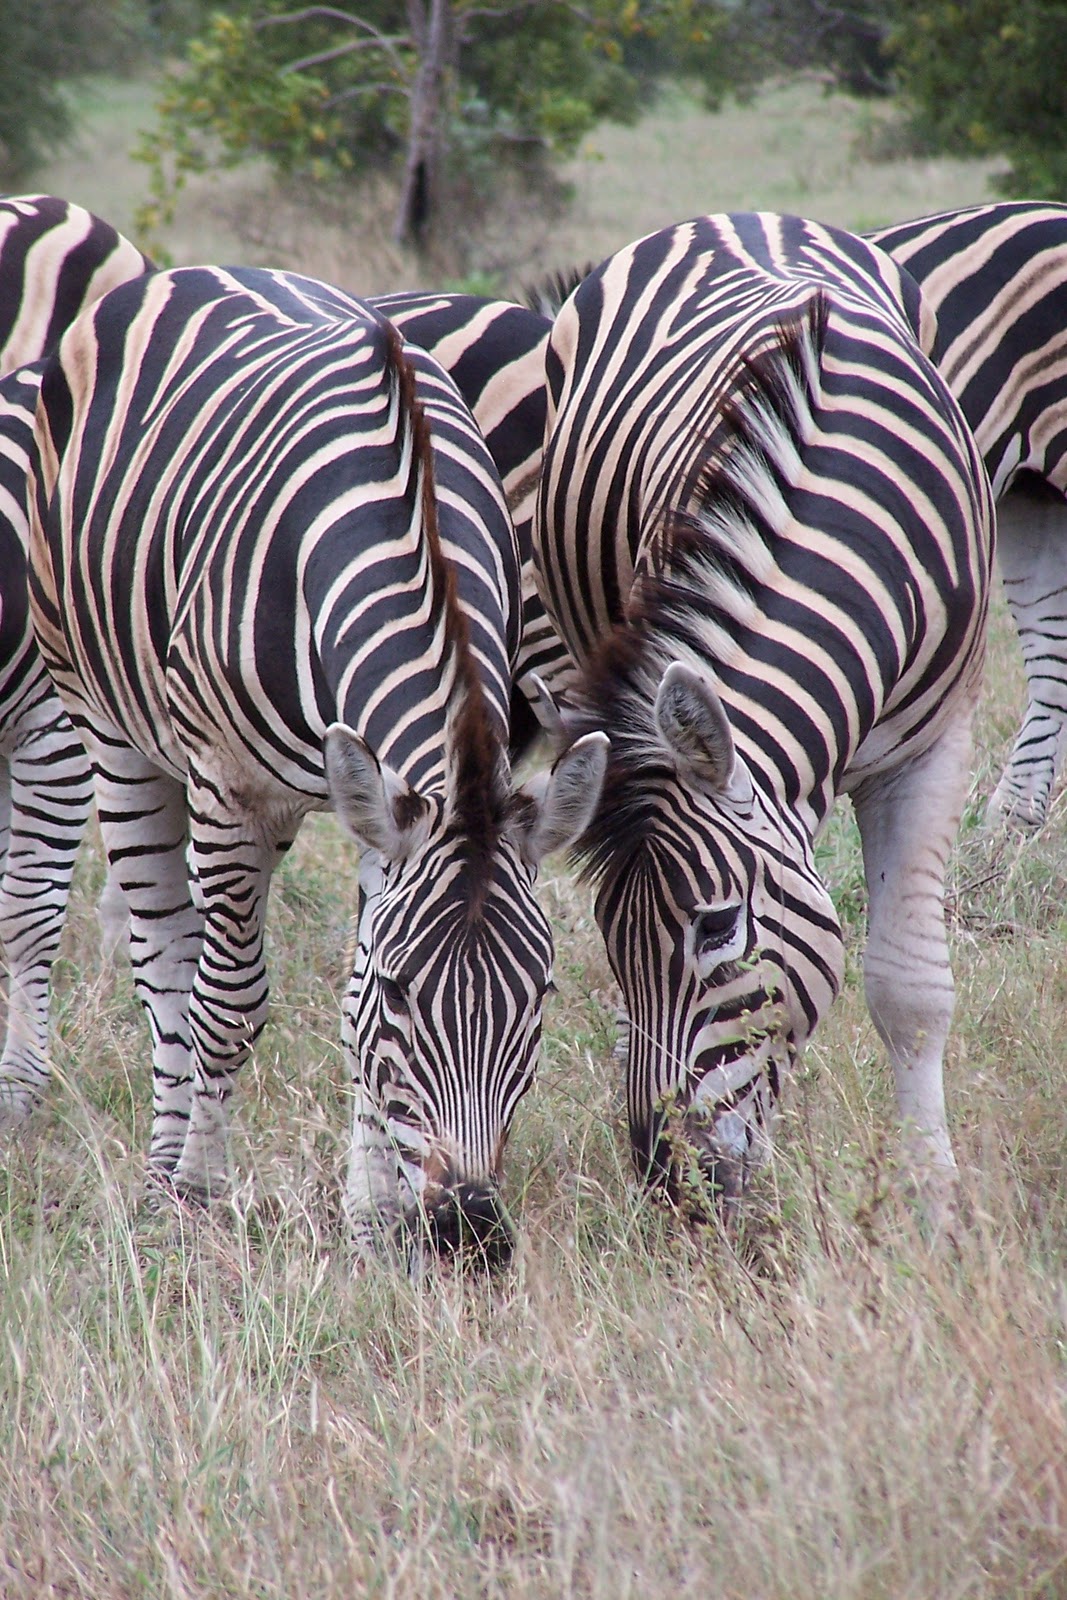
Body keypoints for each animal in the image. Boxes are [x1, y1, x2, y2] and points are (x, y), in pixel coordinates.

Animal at [28, 265, 608, 1265]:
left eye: (541, 994)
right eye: (408, 997)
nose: (469, 1229)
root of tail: (191, 272)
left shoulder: (387, 806)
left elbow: (348, 1009)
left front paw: (374, 1217)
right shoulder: (233, 793)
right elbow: (229, 1003)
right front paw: (201, 1194)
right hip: (108, 726)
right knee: (167, 961)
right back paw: (162, 1179)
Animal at [534, 212, 993, 1216]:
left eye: (715, 928)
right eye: (610, 937)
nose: (669, 1183)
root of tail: (734, 216)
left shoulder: (937, 746)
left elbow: (909, 987)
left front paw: (933, 1200)